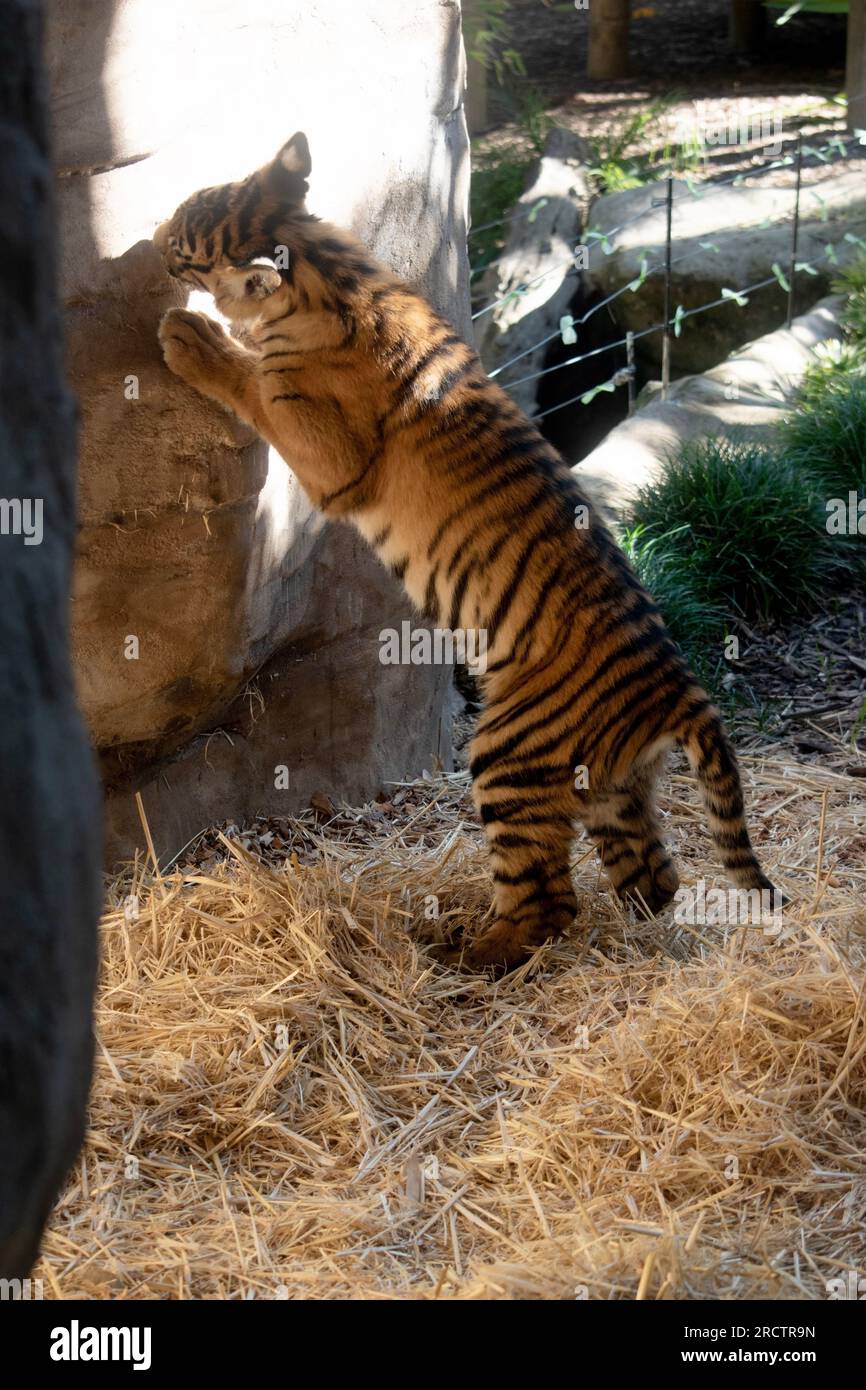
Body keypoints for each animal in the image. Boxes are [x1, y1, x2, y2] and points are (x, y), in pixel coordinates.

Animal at [153, 131, 781, 970]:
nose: (153, 242)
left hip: (511, 753)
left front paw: (191, 338)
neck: (330, 268)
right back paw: (642, 950)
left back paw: (461, 951)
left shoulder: (326, 449)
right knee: (655, 877)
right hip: (615, 789)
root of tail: (680, 691)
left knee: (547, 902)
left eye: (185, 245)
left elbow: (255, 382)